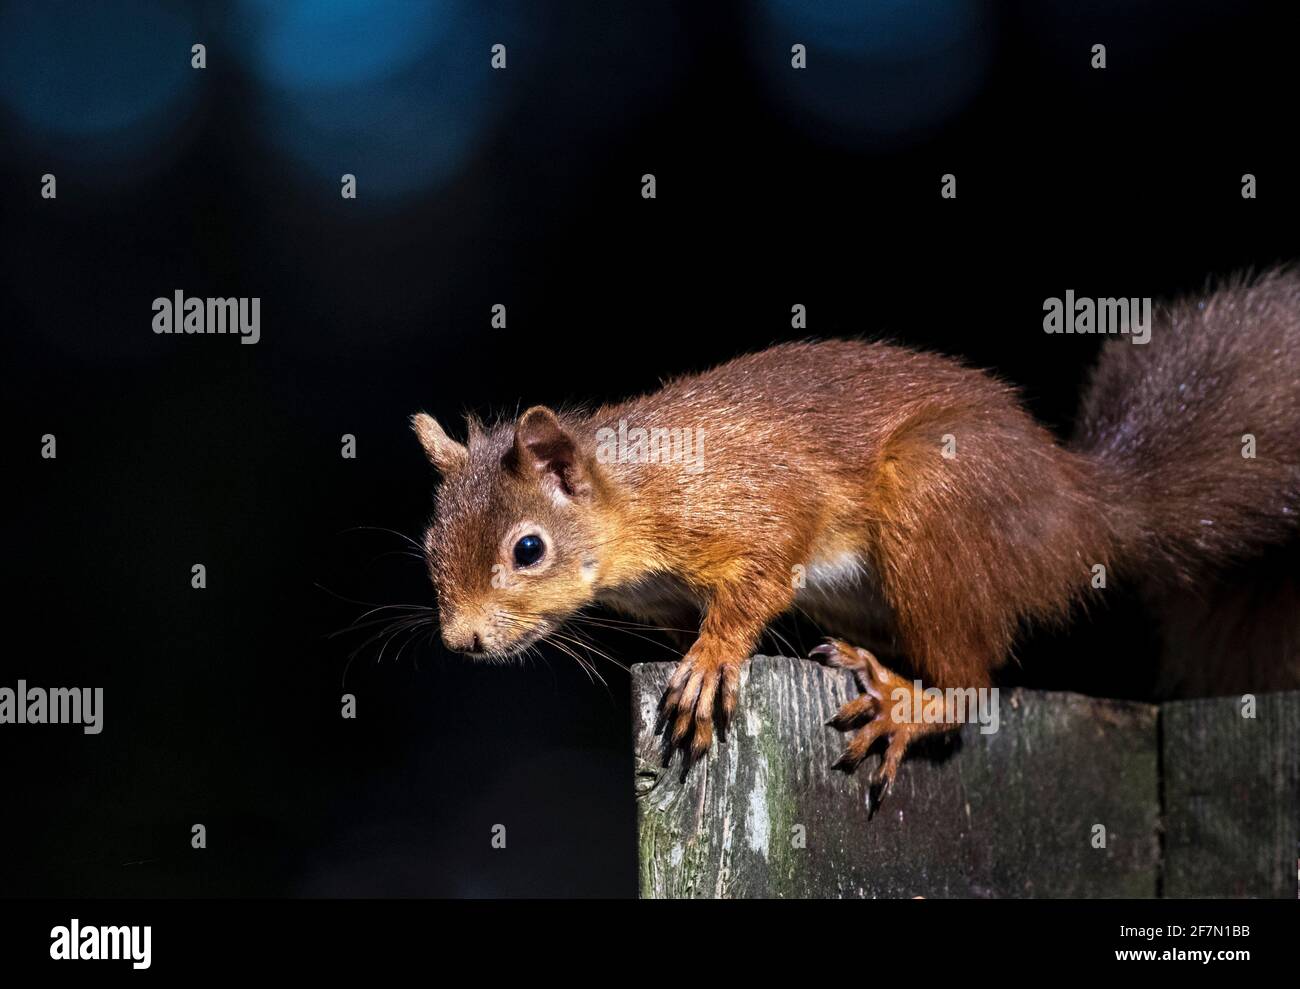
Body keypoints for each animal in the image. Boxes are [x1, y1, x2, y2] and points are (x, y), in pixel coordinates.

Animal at [413, 270, 1300, 791]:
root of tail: (1084, 512)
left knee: (975, 684)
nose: (463, 642)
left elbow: (761, 571)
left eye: (528, 548)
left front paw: (711, 659)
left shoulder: (748, 500)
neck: (633, 494)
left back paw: (907, 703)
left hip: (937, 495)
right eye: (429, 548)